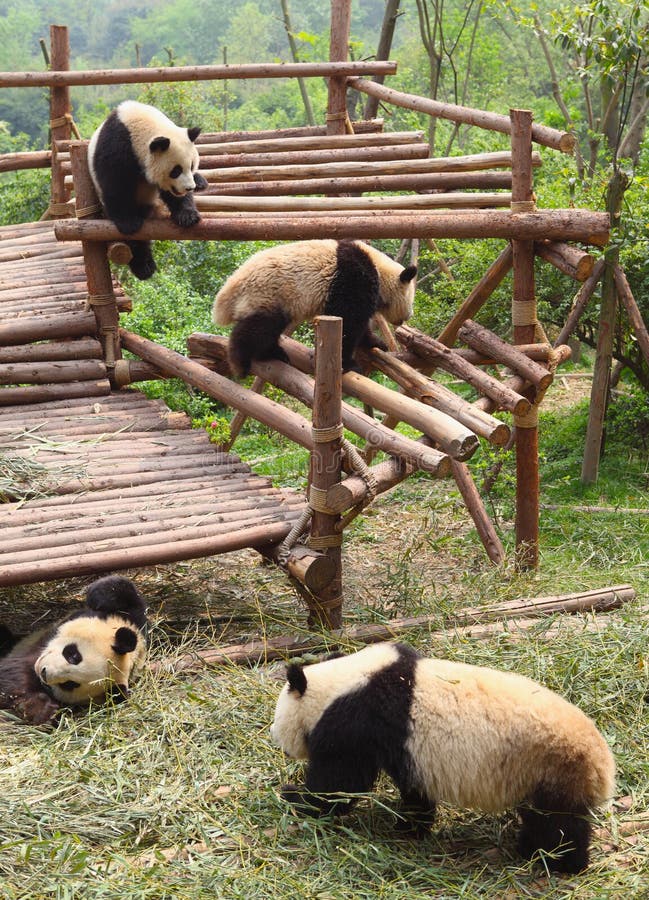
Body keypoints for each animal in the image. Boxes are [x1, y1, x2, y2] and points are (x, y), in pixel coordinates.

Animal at [87, 100, 208, 280]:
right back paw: (144, 267)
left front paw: (187, 216)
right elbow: (115, 186)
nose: (189, 187)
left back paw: (200, 181)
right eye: (176, 170)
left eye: (192, 165)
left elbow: (174, 196)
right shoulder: (116, 146)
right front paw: (128, 222)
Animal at [212, 239, 417, 376]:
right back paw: (242, 363)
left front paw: (377, 342)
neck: (379, 270)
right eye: (410, 298)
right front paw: (349, 364)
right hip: (268, 294)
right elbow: (349, 322)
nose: (407, 316)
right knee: (258, 328)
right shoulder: (353, 279)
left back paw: (274, 353)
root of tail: (227, 292)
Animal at [270, 642, 615, 873]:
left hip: (551, 767)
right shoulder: (406, 749)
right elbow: (413, 790)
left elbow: (340, 784)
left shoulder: (359, 722)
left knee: (557, 825)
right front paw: (409, 828)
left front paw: (294, 795)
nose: (278, 742)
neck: (344, 681)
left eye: (277, 718)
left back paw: (554, 861)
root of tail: (603, 767)